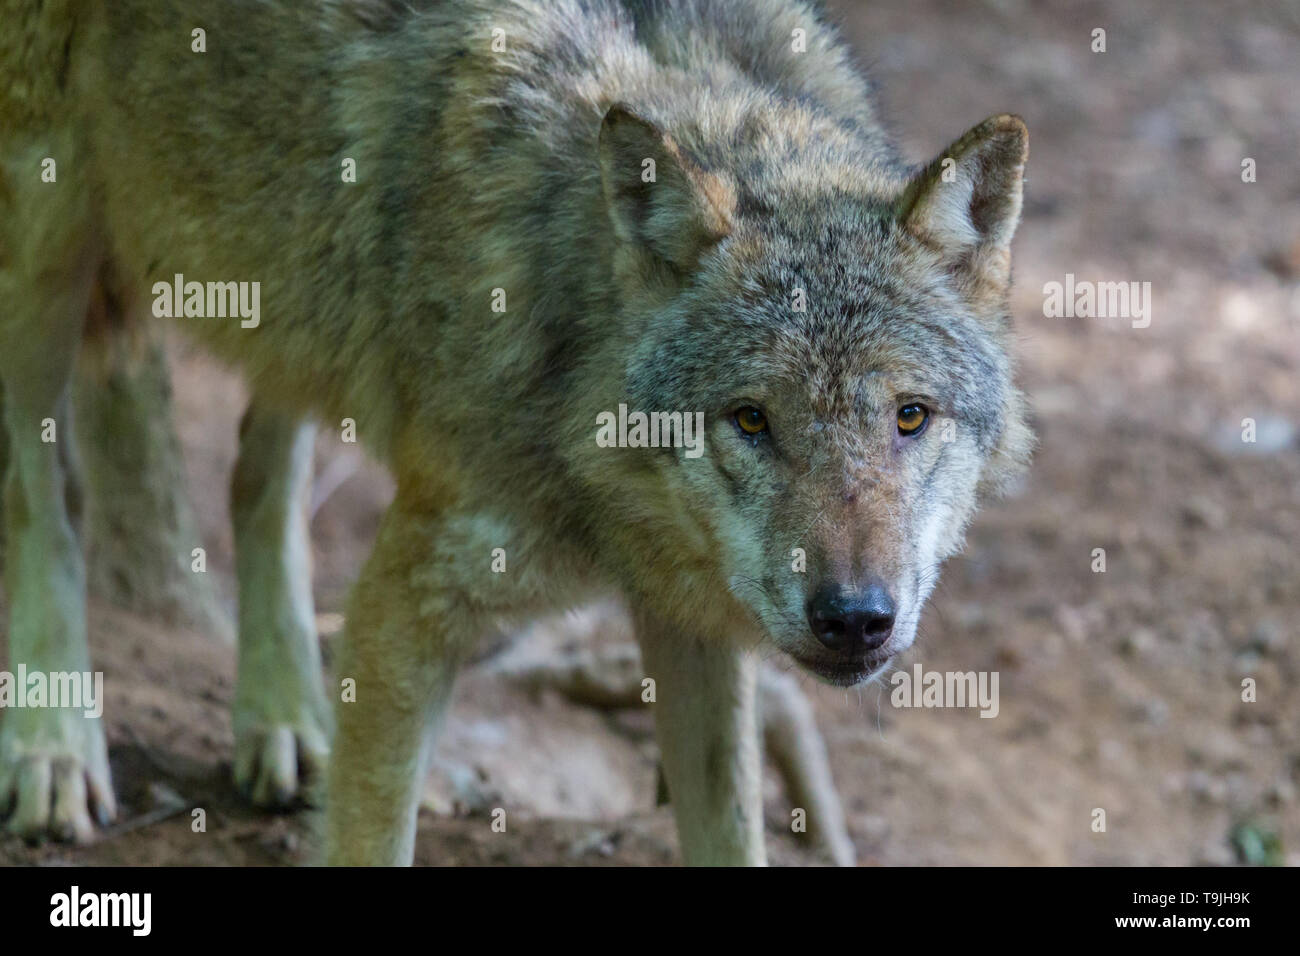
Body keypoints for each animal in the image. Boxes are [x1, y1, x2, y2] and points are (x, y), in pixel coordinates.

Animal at [0, 0, 1031, 864]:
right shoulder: (407, 603)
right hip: (45, 235)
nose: (856, 619)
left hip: (291, 287)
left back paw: (286, 716)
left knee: (260, 474)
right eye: (751, 420)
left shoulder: (687, 625)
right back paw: (53, 749)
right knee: (43, 494)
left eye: (908, 416)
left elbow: (731, 833)